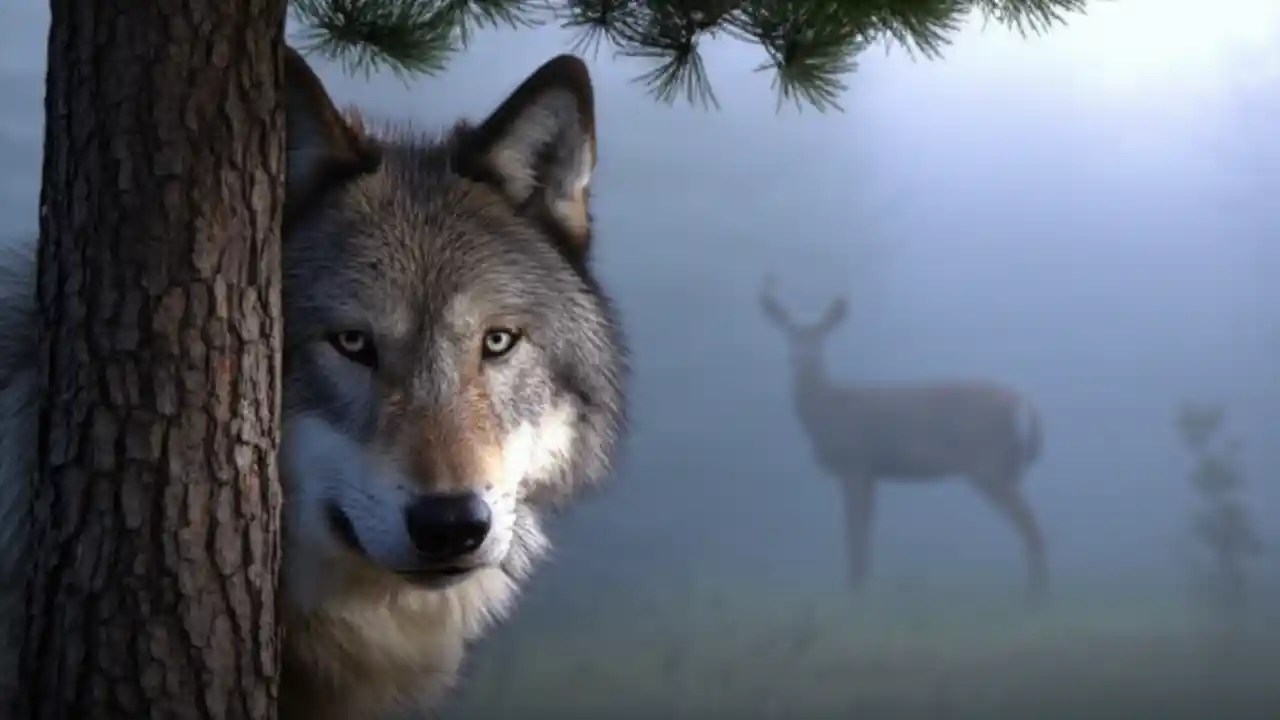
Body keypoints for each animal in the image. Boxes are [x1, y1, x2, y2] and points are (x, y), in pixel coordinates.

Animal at [758, 277, 1049, 604]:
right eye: (788, 330)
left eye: (820, 333)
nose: (801, 357)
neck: (828, 411)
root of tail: (1023, 401)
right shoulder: (872, 471)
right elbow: (865, 527)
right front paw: (863, 584)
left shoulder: (854, 460)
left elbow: (853, 528)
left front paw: (854, 591)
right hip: (1007, 466)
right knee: (1030, 525)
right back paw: (1036, 592)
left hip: (989, 463)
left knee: (1031, 526)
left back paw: (1036, 598)